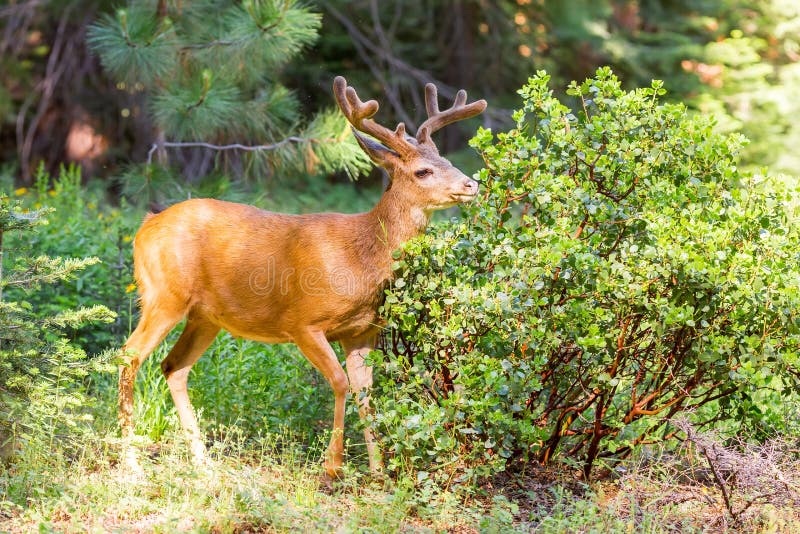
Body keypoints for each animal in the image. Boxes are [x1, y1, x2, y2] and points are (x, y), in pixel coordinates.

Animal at [118, 76, 486, 477]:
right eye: (422, 171)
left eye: (447, 160)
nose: (471, 184)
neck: (361, 258)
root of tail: (145, 226)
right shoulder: (302, 321)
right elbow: (340, 383)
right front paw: (332, 466)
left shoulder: (362, 331)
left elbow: (366, 395)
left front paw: (378, 471)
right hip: (164, 295)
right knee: (128, 356)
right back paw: (131, 462)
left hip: (205, 316)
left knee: (173, 366)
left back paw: (203, 462)